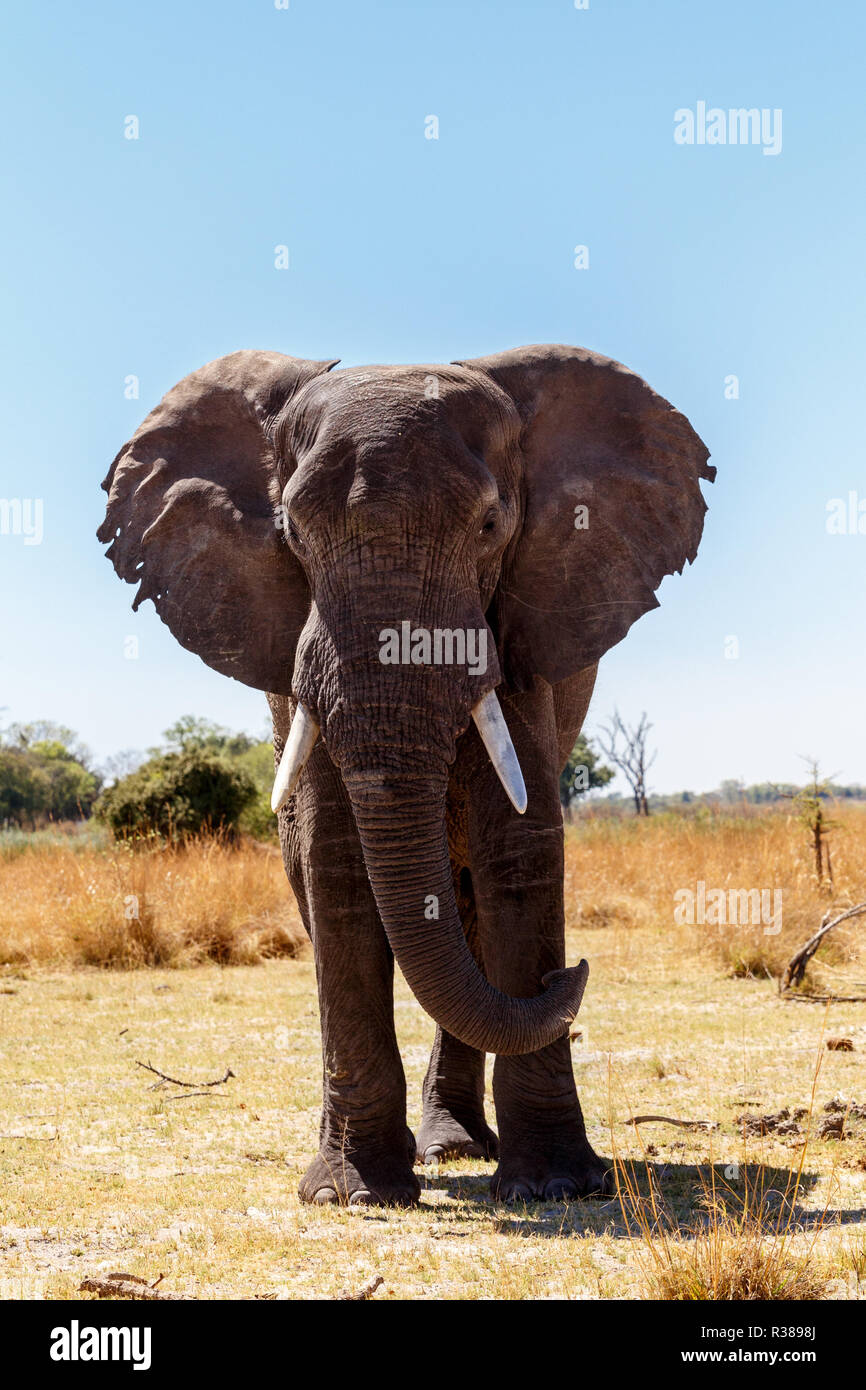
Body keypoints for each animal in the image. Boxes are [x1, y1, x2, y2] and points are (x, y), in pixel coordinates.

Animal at [98, 343, 713, 1206]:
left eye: (490, 527)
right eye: (291, 533)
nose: (568, 973)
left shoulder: (521, 630)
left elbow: (518, 847)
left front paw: (556, 1187)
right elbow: (335, 860)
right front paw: (352, 1193)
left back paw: (456, 1147)